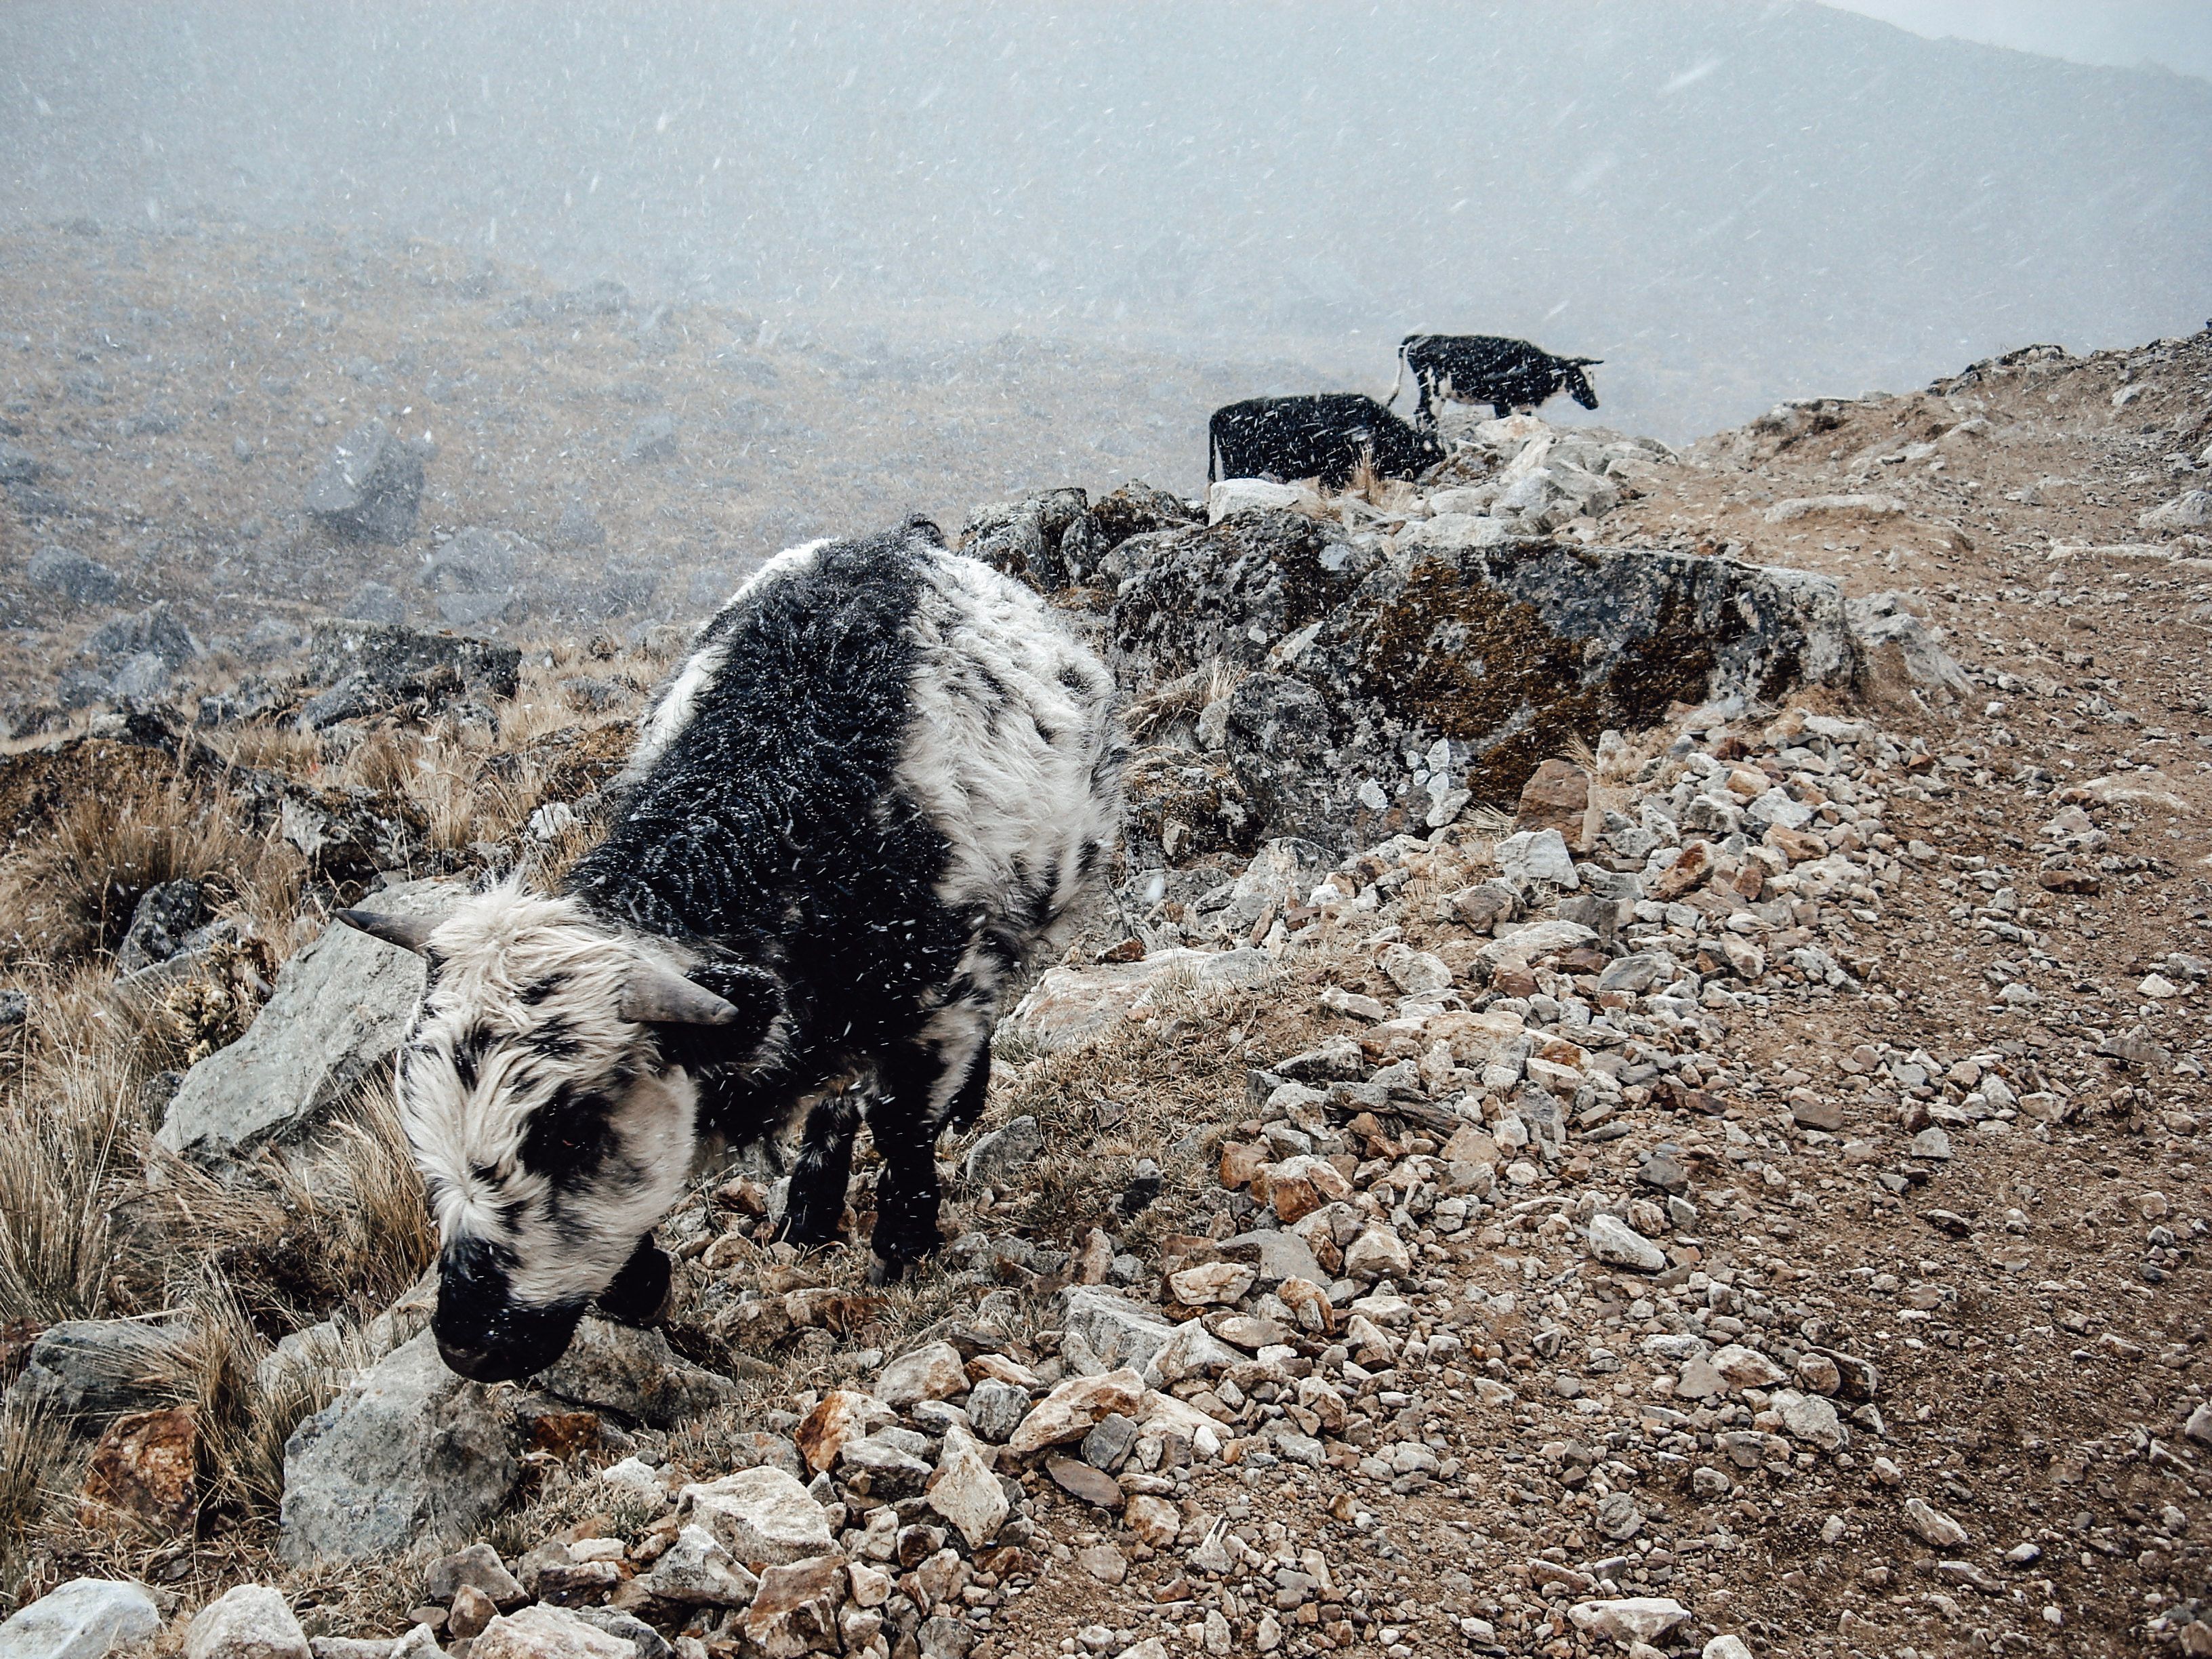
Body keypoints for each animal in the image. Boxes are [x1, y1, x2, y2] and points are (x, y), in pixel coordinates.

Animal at [337, 518, 1124, 1383]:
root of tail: (901, 538)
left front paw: (902, 1247)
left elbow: (904, 1124)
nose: (467, 1345)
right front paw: (646, 1282)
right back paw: (809, 1213)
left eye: (571, 1135)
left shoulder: (938, 1003)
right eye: (418, 1127)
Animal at [1388, 336, 1601, 429]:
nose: (1594, 403)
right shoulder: (1503, 402)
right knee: (1424, 414)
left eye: (1593, 377)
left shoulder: (1523, 406)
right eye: (1578, 377)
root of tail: (1422, 337)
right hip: (1434, 390)